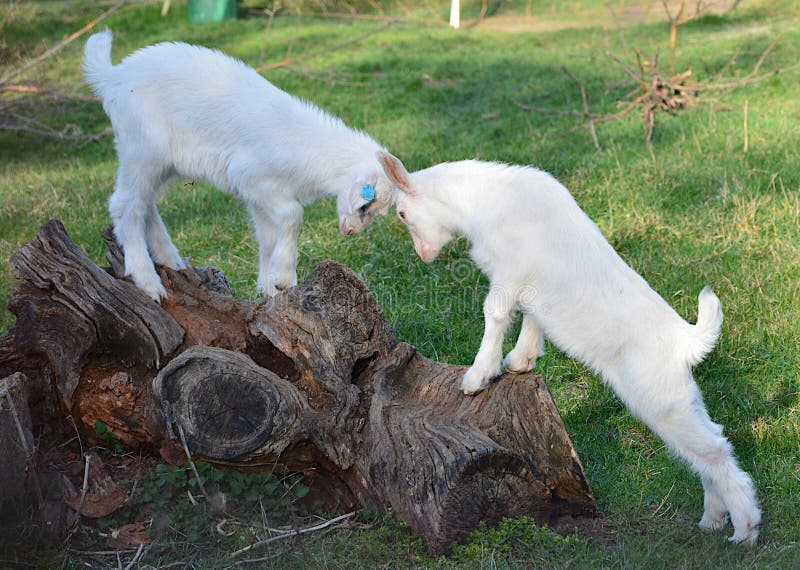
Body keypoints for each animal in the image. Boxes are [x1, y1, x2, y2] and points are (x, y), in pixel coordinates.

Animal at [83, 30, 393, 301]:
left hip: (160, 164)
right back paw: (148, 282)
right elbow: (293, 215)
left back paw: (171, 260)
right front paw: (284, 278)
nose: (351, 232)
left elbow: (268, 237)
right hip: (142, 149)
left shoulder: (259, 195)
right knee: (125, 205)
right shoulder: (250, 176)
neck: (303, 144)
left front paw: (269, 288)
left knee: (145, 204)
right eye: (365, 205)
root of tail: (114, 76)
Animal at [377, 151, 761, 545]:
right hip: (682, 398)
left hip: (660, 400)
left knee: (713, 451)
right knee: (709, 443)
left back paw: (745, 530)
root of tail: (685, 339)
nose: (423, 255)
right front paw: (521, 361)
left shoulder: (508, 273)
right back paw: (713, 518)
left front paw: (478, 376)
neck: (491, 197)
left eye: (402, 214)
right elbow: (533, 316)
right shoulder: (531, 286)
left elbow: (495, 314)